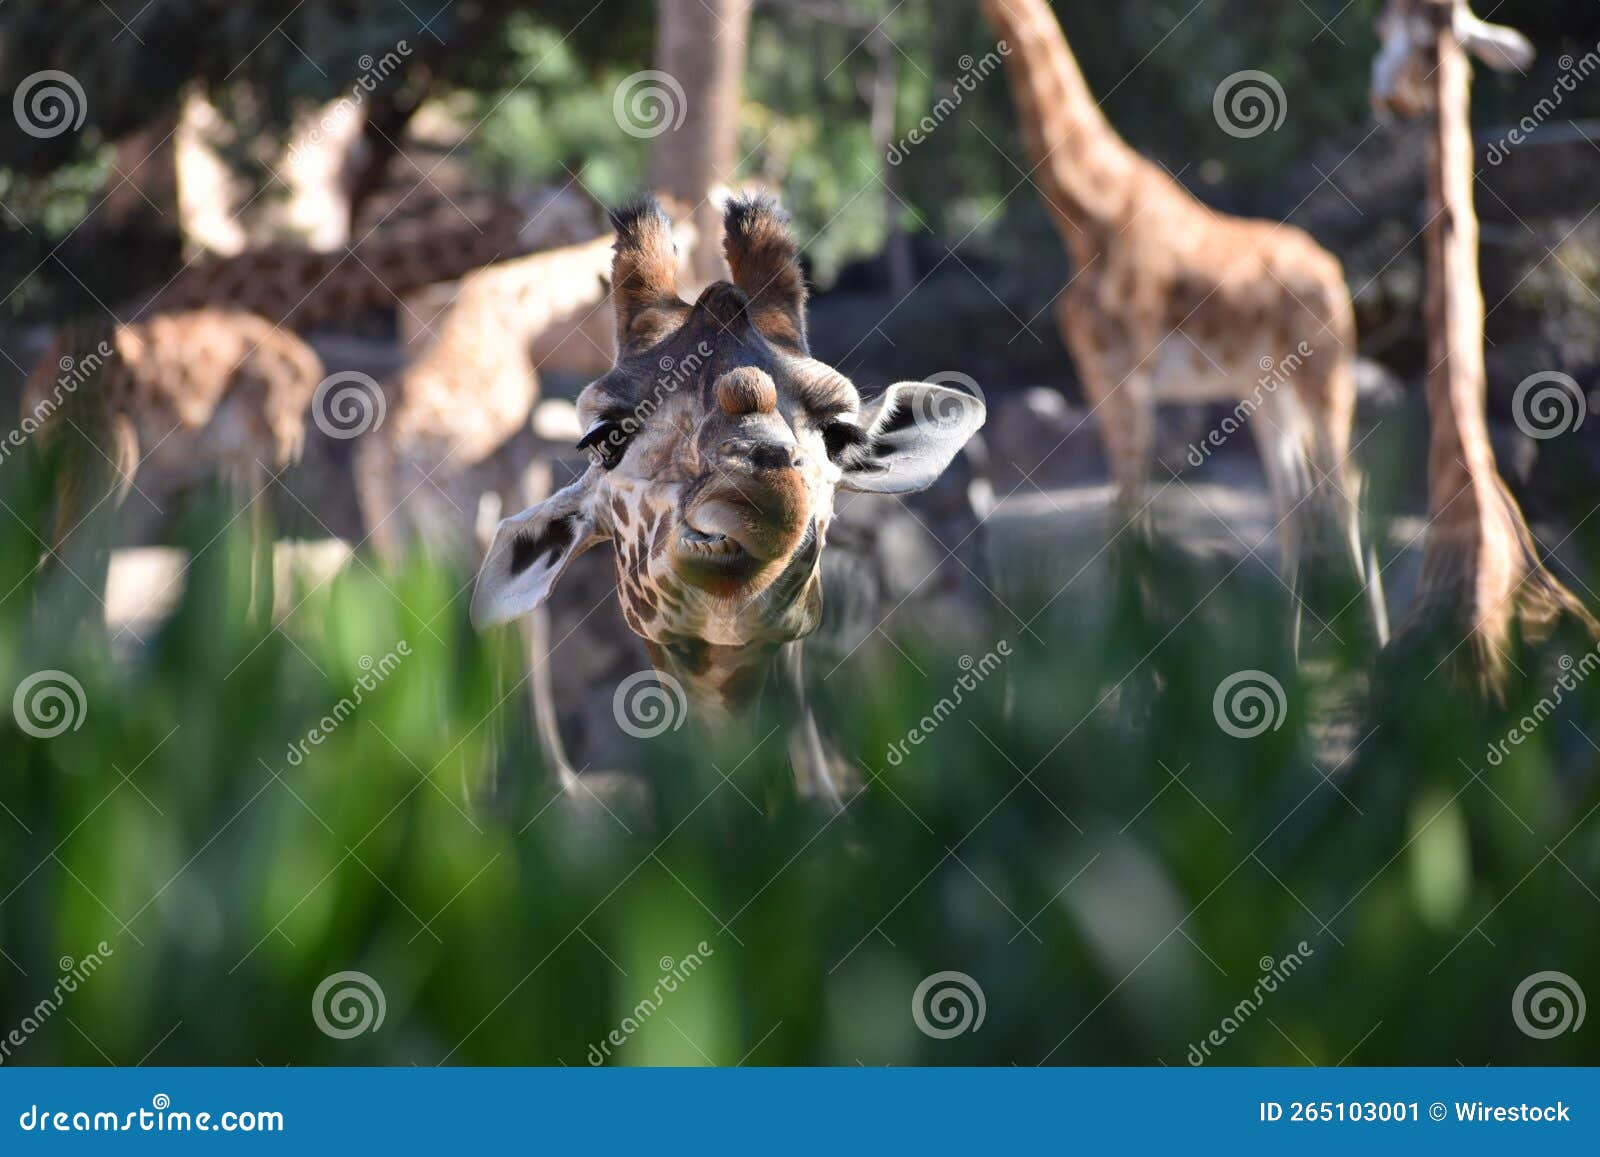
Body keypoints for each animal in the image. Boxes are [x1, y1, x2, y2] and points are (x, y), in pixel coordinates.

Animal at [980, 0, 1388, 650]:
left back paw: (1382, 656)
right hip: (1267, 393)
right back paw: (1290, 657)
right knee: (1295, 506)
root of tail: (1333, 271)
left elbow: (1131, 516)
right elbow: (1122, 513)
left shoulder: (1130, 378)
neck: (1085, 211)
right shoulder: (1098, 378)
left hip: (1326, 376)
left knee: (1348, 492)